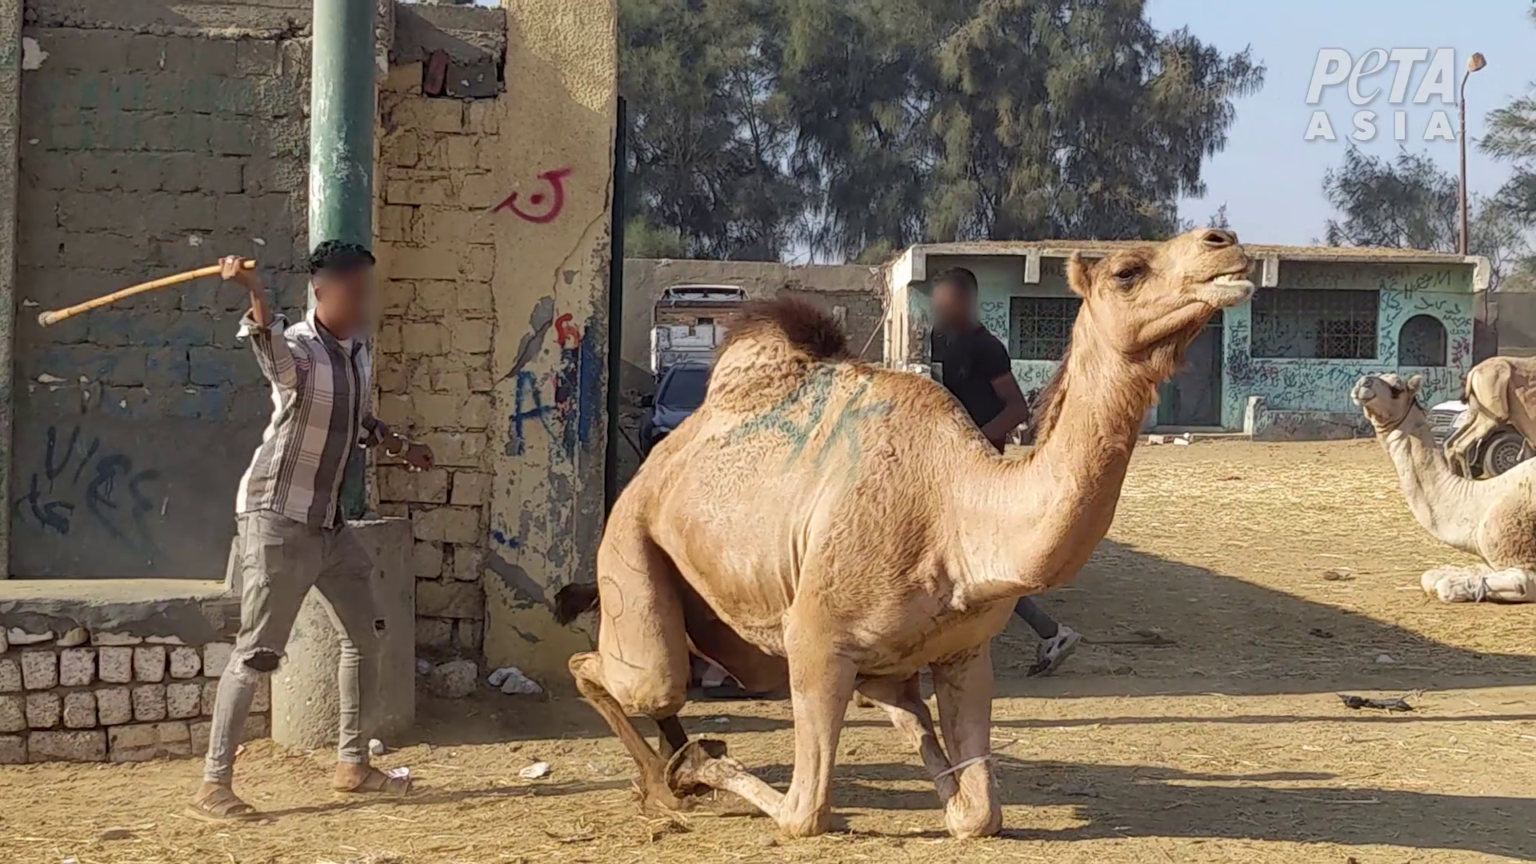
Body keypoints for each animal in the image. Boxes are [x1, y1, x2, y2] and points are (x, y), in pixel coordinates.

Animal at [564, 228, 1254, 839]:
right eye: (1128, 270)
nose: (1225, 242)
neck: (958, 516)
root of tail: (652, 467)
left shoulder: (966, 653)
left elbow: (979, 814)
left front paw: (954, 799)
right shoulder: (816, 642)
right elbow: (804, 815)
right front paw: (702, 766)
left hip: (748, 636)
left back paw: (670, 772)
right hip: (630, 553)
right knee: (620, 674)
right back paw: (664, 780)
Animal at [1351, 373, 1536, 603]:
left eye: (1397, 388)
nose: (1363, 383)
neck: (1479, 502)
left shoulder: (1518, 551)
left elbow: (1519, 582)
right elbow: (1430, 576)